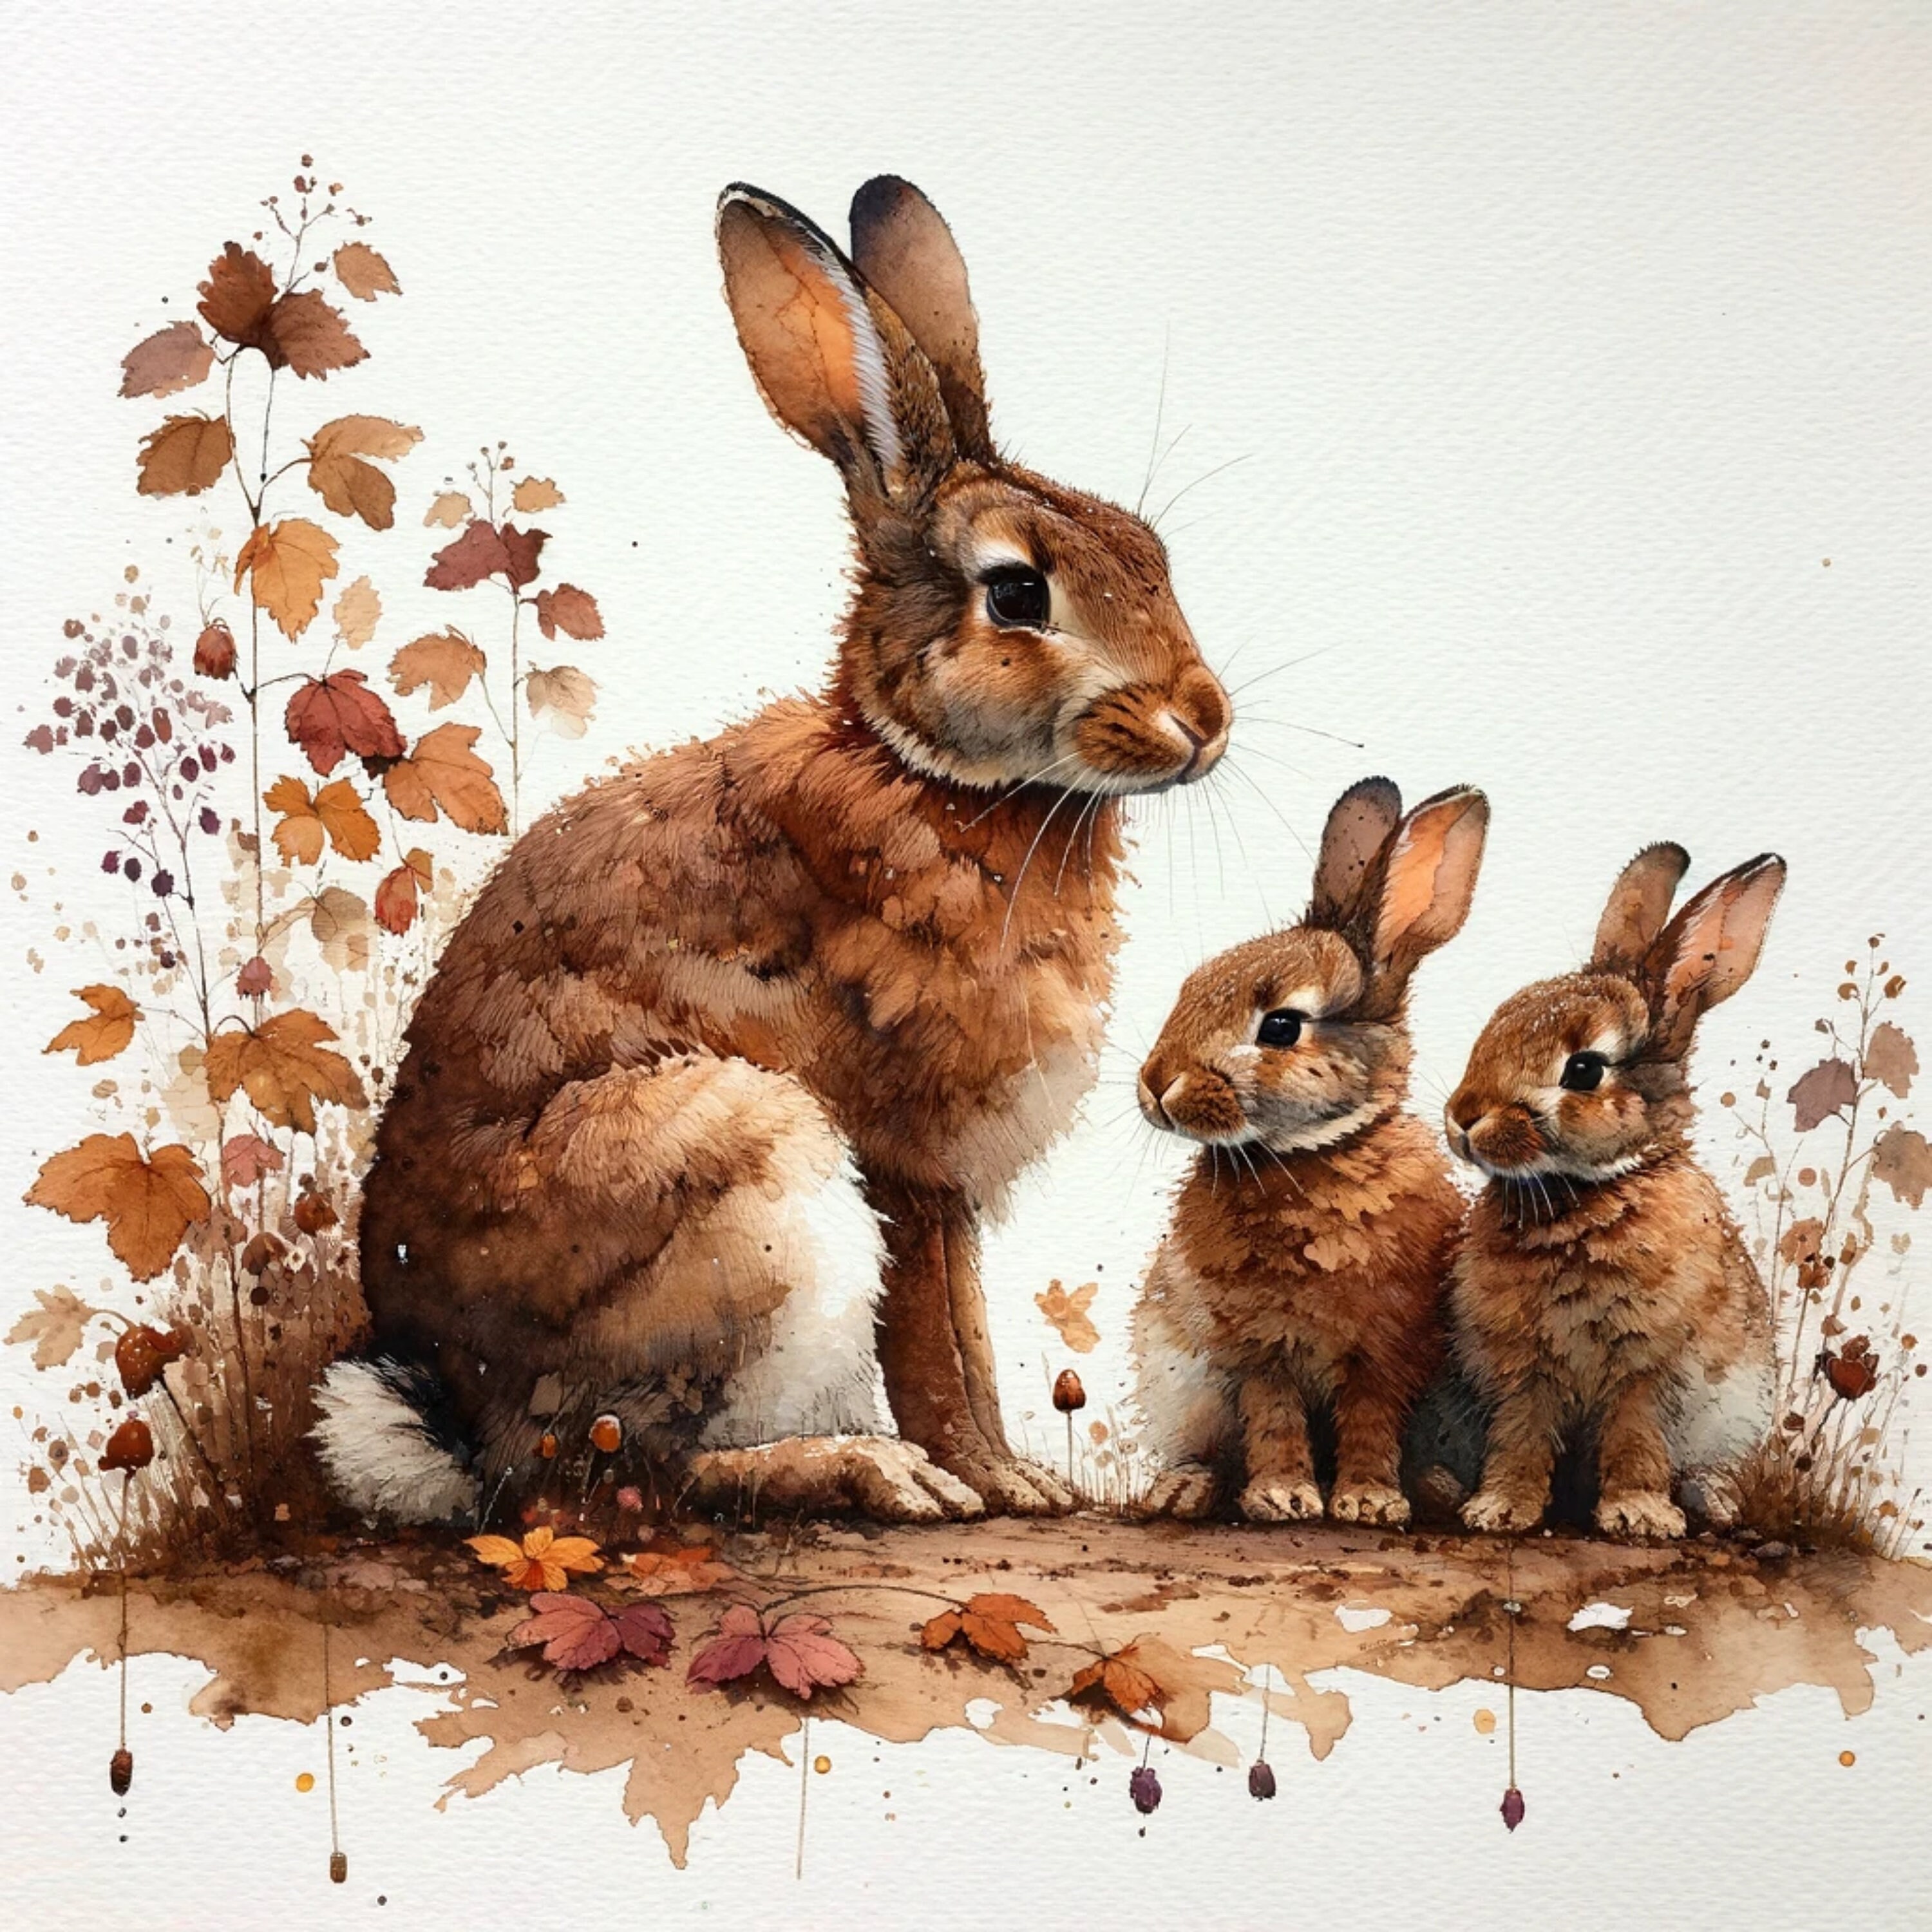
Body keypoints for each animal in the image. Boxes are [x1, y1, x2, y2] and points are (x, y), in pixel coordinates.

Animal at [311, 176, 1232, 1528]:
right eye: (1018, 594)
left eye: (1150, 553)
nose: (1203, 722)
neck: (928, 769)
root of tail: (459, 1433)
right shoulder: (905, 1167)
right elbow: (936, 1342)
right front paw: (988, 1485)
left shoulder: (943, 1190)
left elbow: (964, 1333)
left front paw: (1020, 1480)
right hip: (746, 1174)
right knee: (627, 1475)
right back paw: (869, 1472)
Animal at [1131, 777, 1490, 1526]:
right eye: (1191, 987)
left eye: (1281, 1027)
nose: (1156, 1084)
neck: (1304, 1156)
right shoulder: (1257, 1348)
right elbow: (1273, 1418)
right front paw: (1285, 1497)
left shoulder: (1387, 1347)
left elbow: (1370, 1420)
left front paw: (1367, 1501)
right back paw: (1182, 1491)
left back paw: (1435, 1489)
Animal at [1445, 844, 1785, 1540]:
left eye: (1584, 1069)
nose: (1462, 1120)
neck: (1584, 1192)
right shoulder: (1526, 1373)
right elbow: (1520, 1439)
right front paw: (1500, 1510)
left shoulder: (1651, 1372)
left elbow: (1636, 1441)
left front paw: (1639, 1517)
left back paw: (1715, 1505)